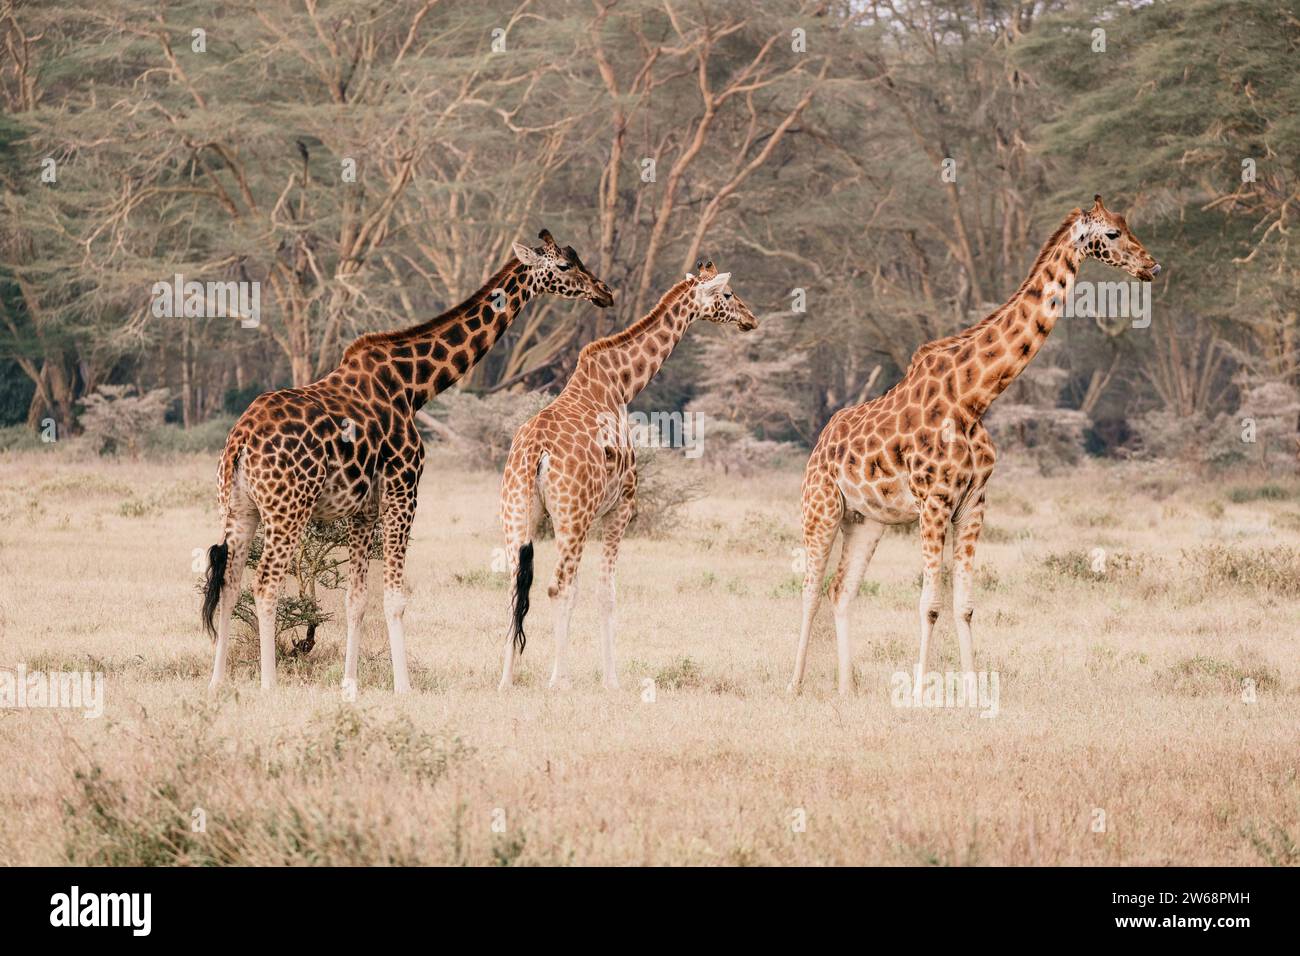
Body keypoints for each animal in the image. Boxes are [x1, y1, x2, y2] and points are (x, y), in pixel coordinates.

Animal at [200, 229, 614, 695]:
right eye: (564, 266)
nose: (604, 292)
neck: (414, 386)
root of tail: (240, 441)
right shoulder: (405, 487)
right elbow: (395, 597)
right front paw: (404, 686)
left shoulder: (362, 508)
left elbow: (356, 598)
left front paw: (350, 684)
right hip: (288, 508)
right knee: (265, 584)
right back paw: (268, 684)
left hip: (238, 507)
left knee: (230, 582)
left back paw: (217, 681)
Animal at [496, 262, 757, 691]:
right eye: (727, 295)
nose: (751, 319)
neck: (621, 384)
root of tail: (535, 454)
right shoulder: (620, 507)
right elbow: (606, 592)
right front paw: (612, 680)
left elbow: (581, 589)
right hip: (570, 518)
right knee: (555, 585)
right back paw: (557, 679)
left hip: (517, 515)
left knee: (516, 585)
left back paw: (506, 680)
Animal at [789, 196, 1161, 695]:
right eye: (1114, 233)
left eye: (1128, 225)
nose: (1152, 266)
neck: (974, 398)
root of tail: (819, 443)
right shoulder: (933, 502)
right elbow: (929, 604)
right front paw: (920, 690)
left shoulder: (973, 504)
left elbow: (964, 604)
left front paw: (971, 689)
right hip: (822, 506)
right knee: (810, 588)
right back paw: (795, 685)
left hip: (866, 520)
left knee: (840, 589)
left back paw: (847, 688)